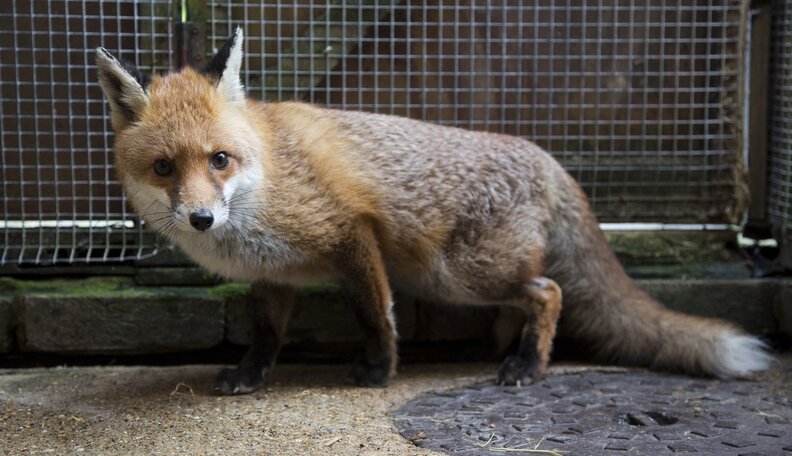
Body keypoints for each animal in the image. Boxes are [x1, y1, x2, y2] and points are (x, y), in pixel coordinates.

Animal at [96, 28, 771, 395]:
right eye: (164, 168)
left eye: (219, 160)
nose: (201, 220)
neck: (268, 175)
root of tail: (547, 157)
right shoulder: (273, 275)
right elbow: (266, 333)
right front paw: (251, 374)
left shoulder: (351, 233)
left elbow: (377, 315)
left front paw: (381, 370)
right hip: (459, 278)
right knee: (522, 299)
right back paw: (490, 352)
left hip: (454, 273)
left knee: (547, 291)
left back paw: (529, 364)